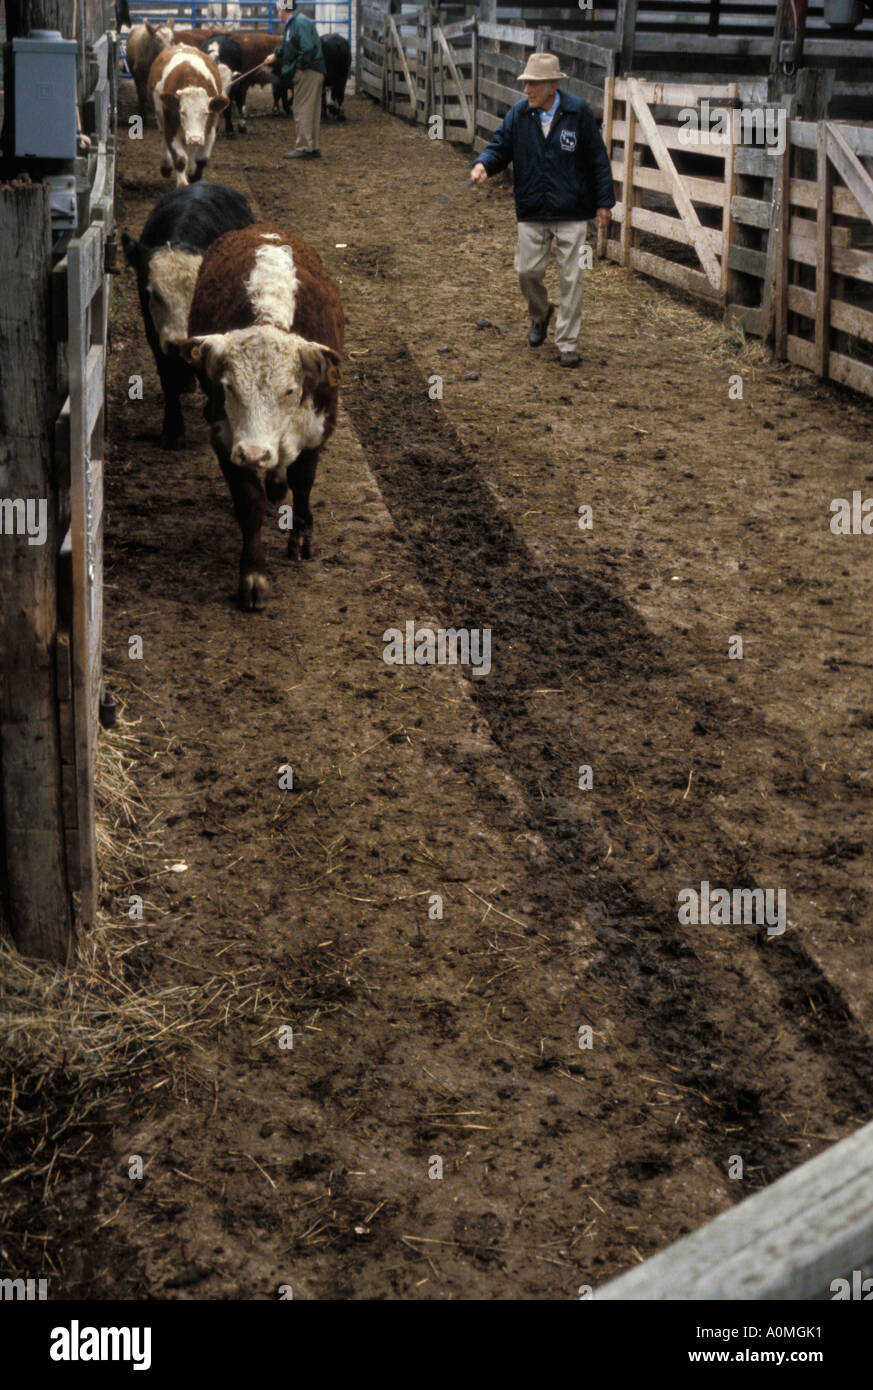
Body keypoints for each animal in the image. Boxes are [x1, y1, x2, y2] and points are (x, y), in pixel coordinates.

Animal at [121, 183, 255, 449]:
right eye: (154, 294)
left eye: (201, 291)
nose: (179, 344)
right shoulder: (155, 333)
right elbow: (167, 376)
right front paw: (172, 430)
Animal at [148, 46, 229, 188]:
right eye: (182, 112)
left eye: (206, 113)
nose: (195, 139)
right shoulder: (170, 128)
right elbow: (180, 159)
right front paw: (182, 183)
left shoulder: (209, 131)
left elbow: (201, 159)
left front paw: (194, 175)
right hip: (160, 118)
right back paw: (166, 166)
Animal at [181, 224, 344, 611]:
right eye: (228, 387)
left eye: (289, 390)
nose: (254, 454)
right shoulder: (225, 437)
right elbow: (249, 503)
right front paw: (253, 576)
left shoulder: (318, 427)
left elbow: (303, 482)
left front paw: (301, 537)